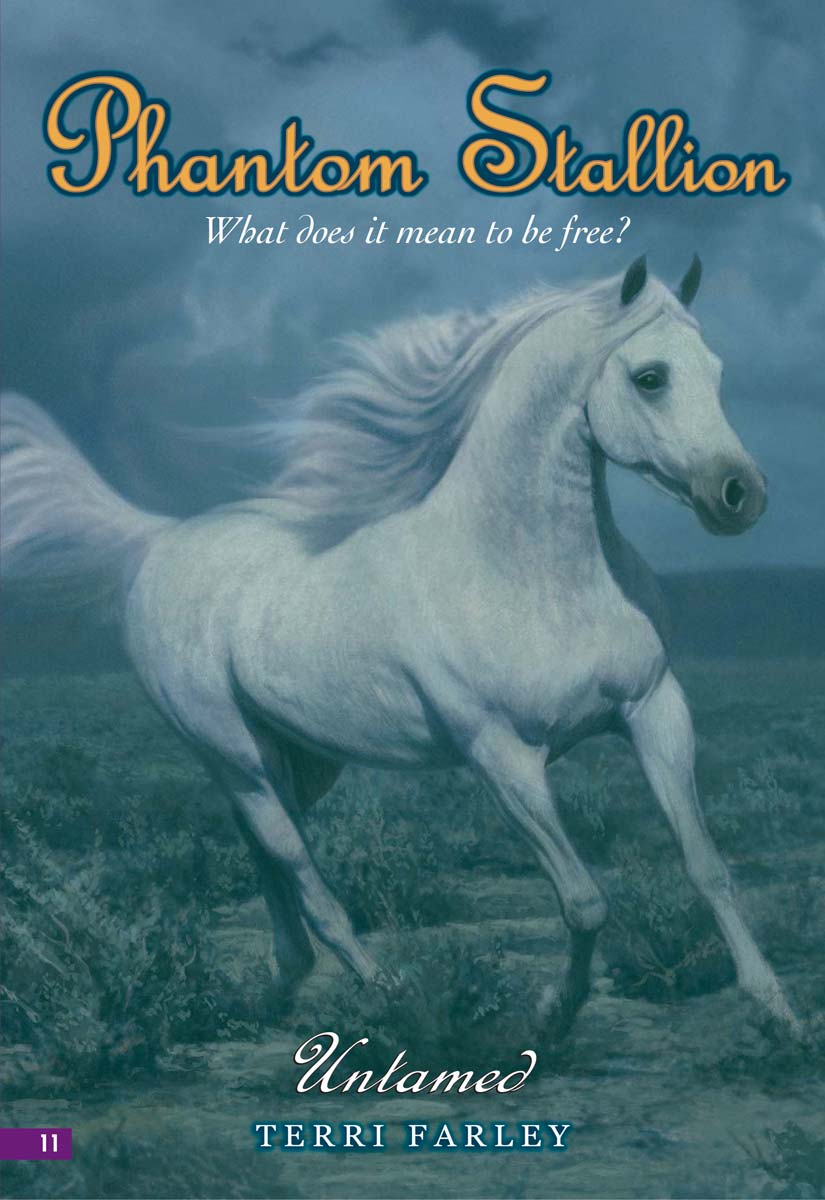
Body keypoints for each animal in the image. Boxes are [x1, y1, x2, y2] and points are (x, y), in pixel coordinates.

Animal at [0, 255, 801, 1038]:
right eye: (650, 377)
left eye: (718, 371)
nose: (742, 494)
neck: (532, 572)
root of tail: (158, 541)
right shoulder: (501, 755)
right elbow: (582, 900)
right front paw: (554, 1012)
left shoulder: (655, 709)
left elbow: (706, 866)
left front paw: (776, 1012)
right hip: (233, 754)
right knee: (297, 866)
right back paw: (385, 990)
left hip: (299, 761)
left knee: (262, 848)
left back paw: (285, 981)